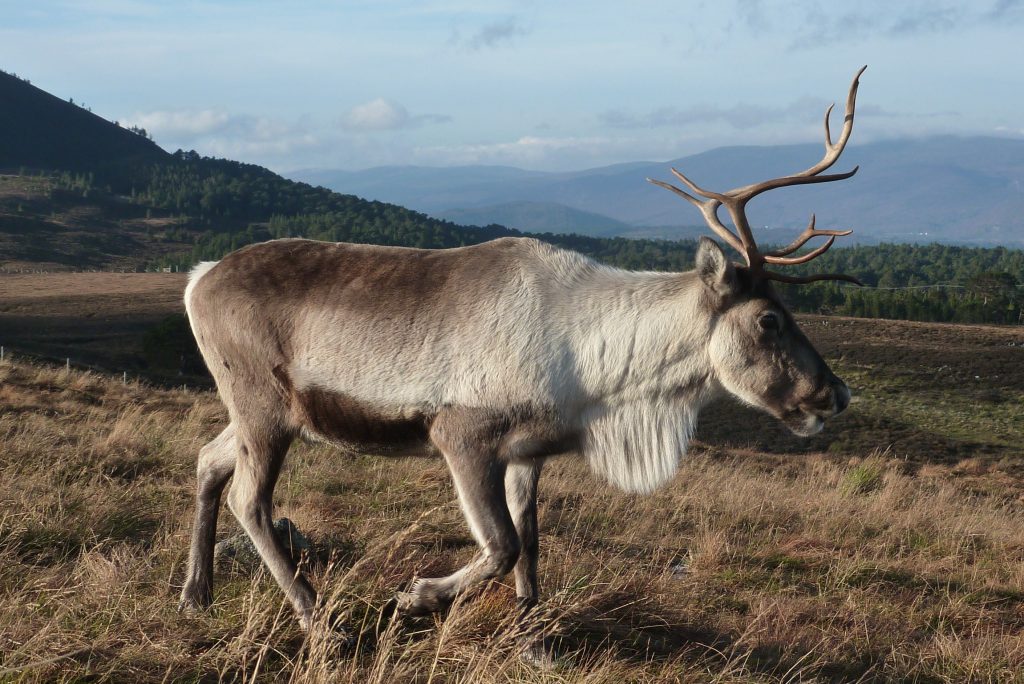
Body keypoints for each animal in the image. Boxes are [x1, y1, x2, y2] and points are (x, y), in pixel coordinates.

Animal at [177, 67, 865, 651]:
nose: (835, 393)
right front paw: (416, 598)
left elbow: (531, 544)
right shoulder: (462, 433)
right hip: (265, 407)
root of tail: (197, 278)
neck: (594, 370)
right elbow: (502, 545)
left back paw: (195, 595)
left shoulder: (527, 451)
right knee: (250, 500)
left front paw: (530, 636)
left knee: (209, 462)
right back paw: (319, 620)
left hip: (260, 413)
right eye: (769, 319)